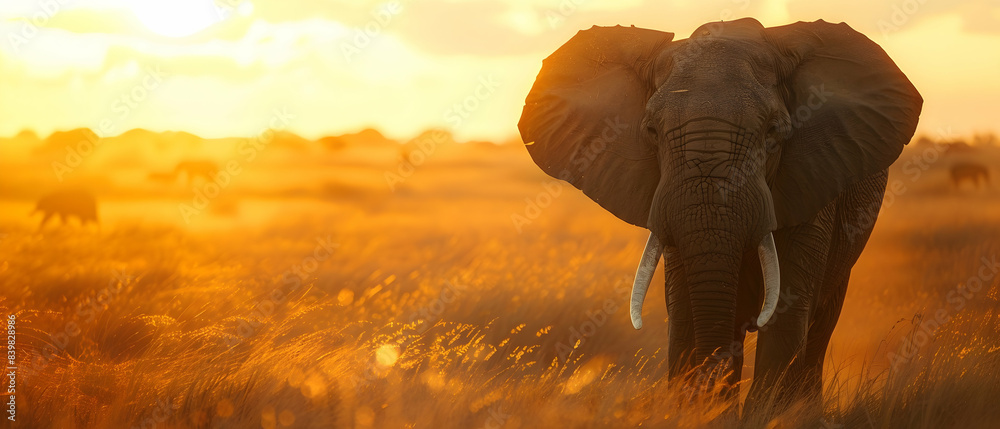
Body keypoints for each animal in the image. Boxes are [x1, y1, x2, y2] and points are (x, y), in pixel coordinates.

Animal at [517, 18, 921, 411]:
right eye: (651, 131)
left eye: (773, 132)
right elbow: (683, 310)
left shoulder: (814, 178)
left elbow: (788, 309)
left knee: (821, 323)